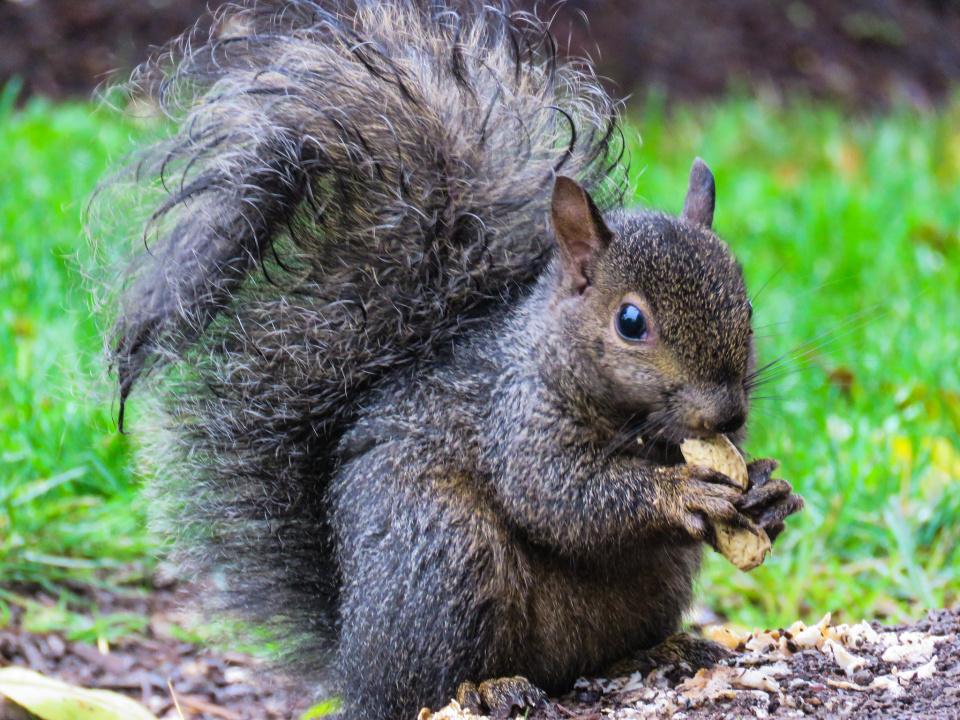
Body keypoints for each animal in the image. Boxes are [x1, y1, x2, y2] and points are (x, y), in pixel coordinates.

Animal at [100, 1, 804, 718]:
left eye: (747, 308)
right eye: (631, 322)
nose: (727, 413)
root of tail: (352, 657)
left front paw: (770, 491)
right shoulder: (513, 415)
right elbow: (558, 494)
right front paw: (681, 490)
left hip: (641, 587)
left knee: (592, 658)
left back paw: (659, 652)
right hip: (444, 555)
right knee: (427, 684)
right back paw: (487, 686)